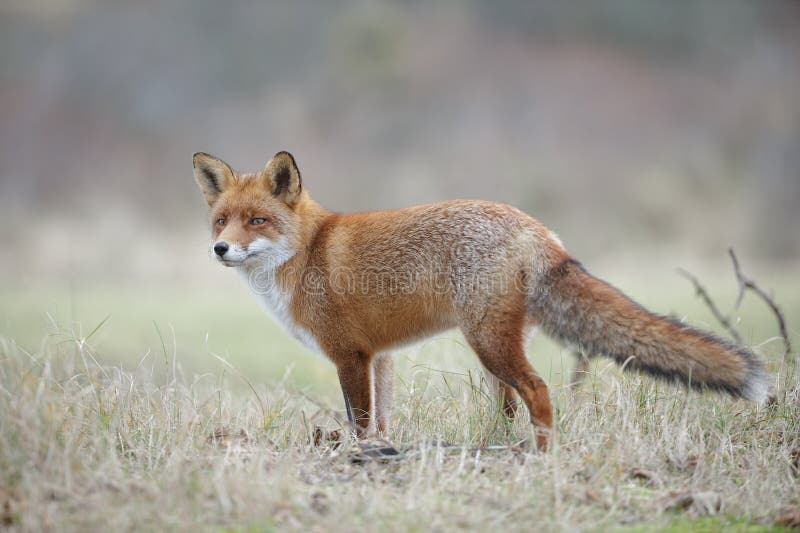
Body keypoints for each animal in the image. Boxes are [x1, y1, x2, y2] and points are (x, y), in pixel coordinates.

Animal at [192, 150, 770, 450]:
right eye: (221, 220)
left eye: (257, 221)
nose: (220, 249)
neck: (305, 251)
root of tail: (538, 229)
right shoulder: (379, 356)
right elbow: (382, 419)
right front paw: (381, 453)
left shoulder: (348, 356)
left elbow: (359, 420)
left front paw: (357, 457)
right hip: (495, 350)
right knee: (512, 405)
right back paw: (500, 446)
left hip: (488, 343)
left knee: (539, 392)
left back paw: (541, 457)